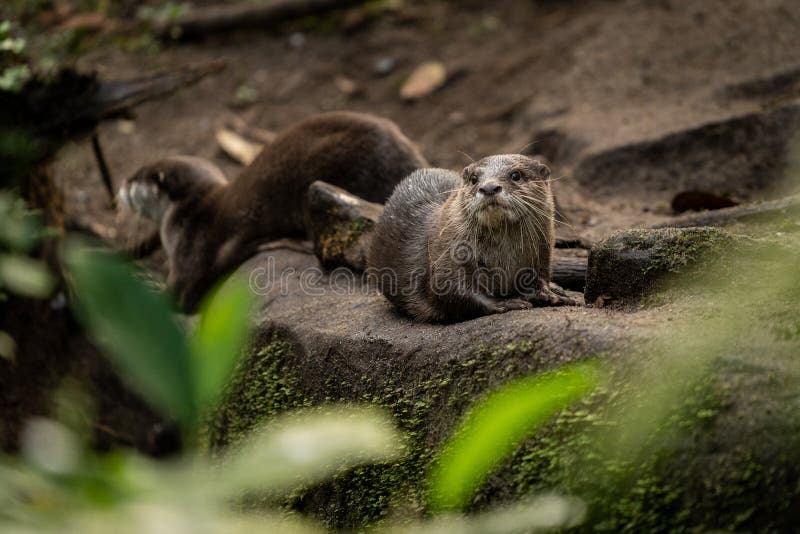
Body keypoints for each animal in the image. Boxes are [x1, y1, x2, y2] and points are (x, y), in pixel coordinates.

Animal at [367, 154, 580, 323]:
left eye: (516, 175)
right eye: (474, 178)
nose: (489, 187)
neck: (504, 259)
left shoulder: (543, 254)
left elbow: (540, 278)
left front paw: (550, 294)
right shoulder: (445, 256)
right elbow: (450, 290)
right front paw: (505, 302)